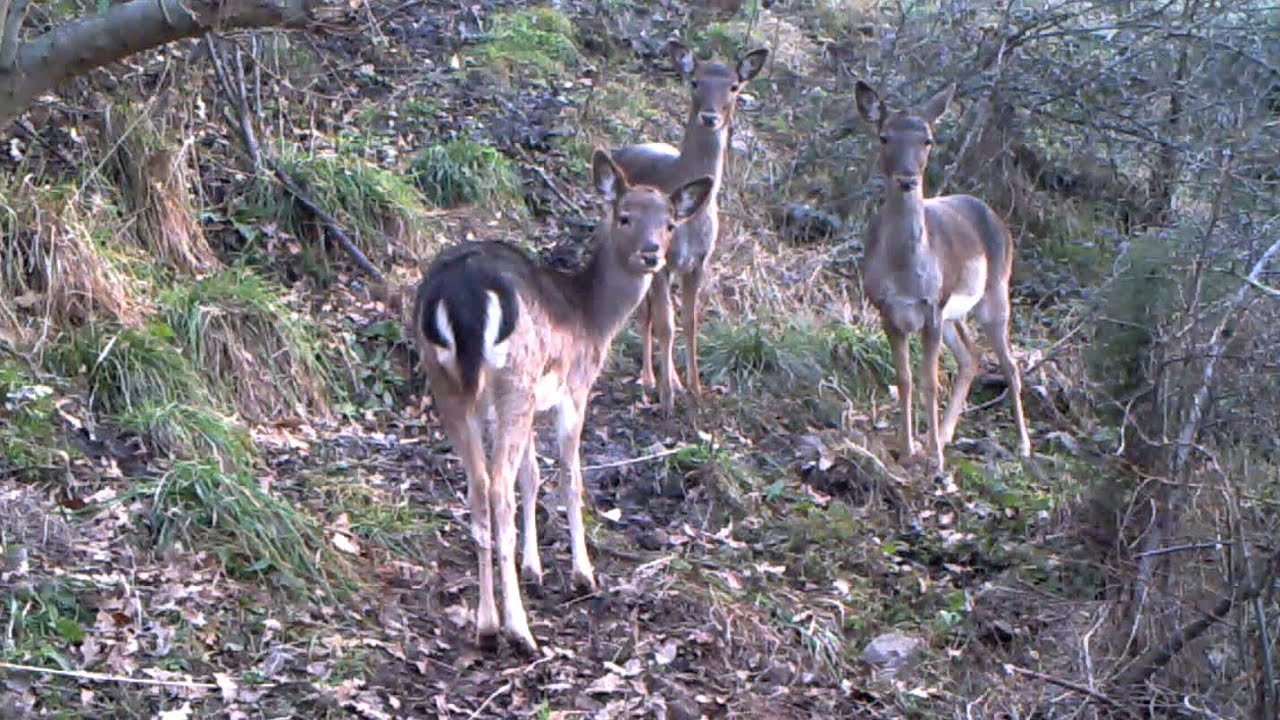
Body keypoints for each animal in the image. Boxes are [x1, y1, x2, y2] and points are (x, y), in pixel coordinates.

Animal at [411, 149, 714, 655]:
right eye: (624, 215)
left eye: (670, 222)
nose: (652, 253)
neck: (592, 318)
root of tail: (463, 298)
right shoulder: (573, 388)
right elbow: (570, 476)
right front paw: (582, 574)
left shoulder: (527, 401)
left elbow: (531, 475)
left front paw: (533, 569)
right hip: (513, 378)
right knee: (497, 487)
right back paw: (518, 630)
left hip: (449, 384)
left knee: (478, 484)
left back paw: (486, 624)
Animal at [610, 41, 769, 413]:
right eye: (695, 81)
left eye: (734, 86)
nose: (710, 116)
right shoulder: (663, 264)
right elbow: (666, 325)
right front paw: (666, 397)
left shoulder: (699, 263)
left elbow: (691, 322)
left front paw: (695, 389)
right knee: (644, 312)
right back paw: (648, 378)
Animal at [853, 80, 1032, 473]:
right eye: (885, 136)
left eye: (928, 139)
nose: (907, 179)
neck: (904, 272)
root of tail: (995, 216)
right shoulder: (887, 309)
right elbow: (904, 379)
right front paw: (908, 448)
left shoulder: (931, 306)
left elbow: (930, 382)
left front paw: (933, 458)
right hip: (954, 312)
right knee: (972, 356)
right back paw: (946, 435)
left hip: (994, 294)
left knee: (1009, 363)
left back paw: (1024, 445)